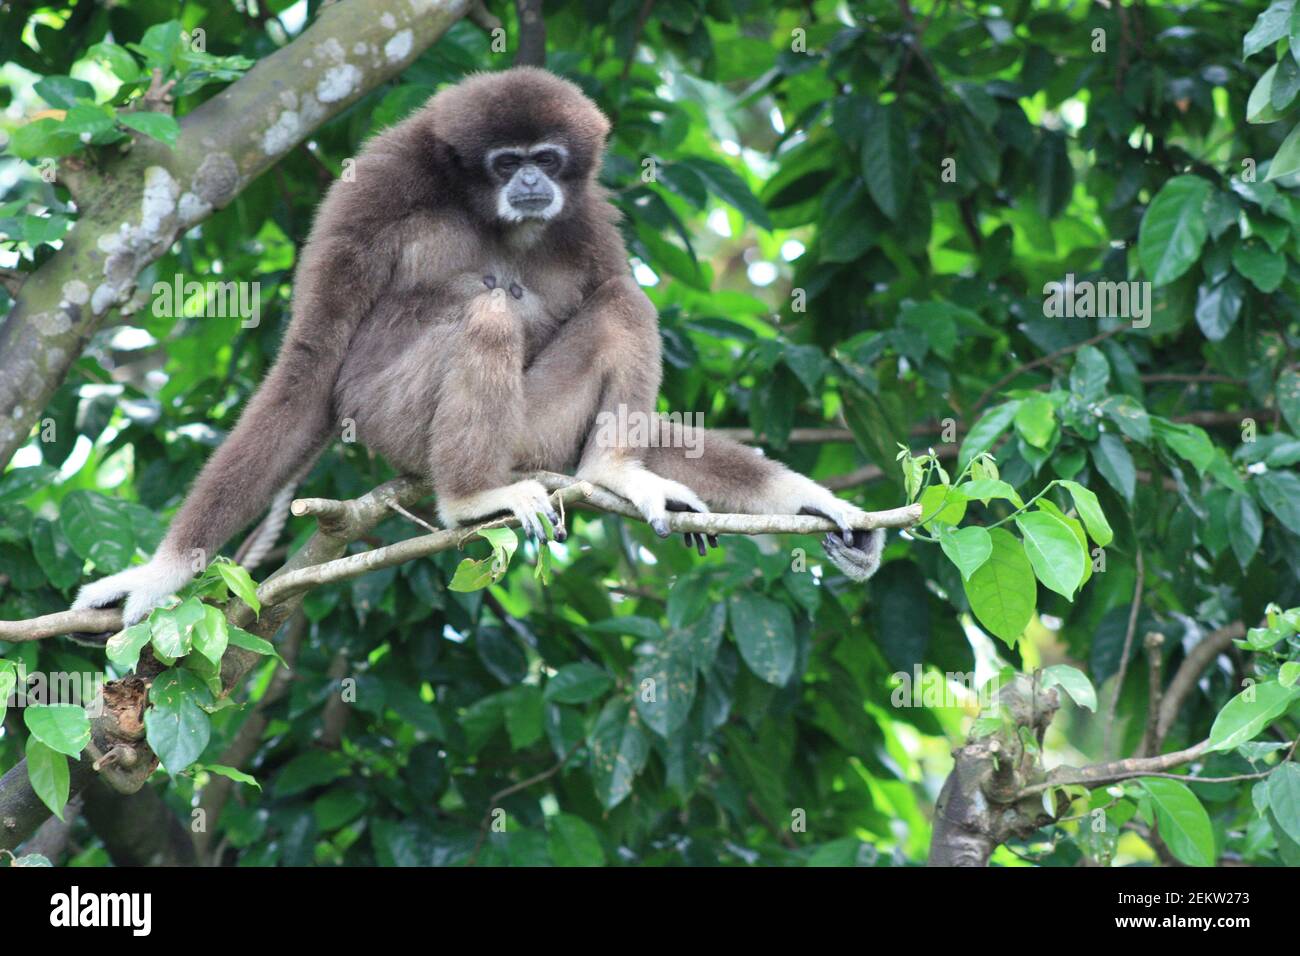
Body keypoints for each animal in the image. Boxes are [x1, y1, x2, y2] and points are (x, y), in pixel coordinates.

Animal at [73, 67, 884, 626]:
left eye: (548, 160)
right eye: (504, 161)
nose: (527, 180)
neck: (480, 206)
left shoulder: (589, 216)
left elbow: (618, 305)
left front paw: (812, 501)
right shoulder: (374, 183)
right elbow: (309, 362)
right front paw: (161, 574)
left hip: (540, 432)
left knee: (621, 304)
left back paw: (614, 472)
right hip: (397, 421)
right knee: (488, 315)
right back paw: (470, 498)